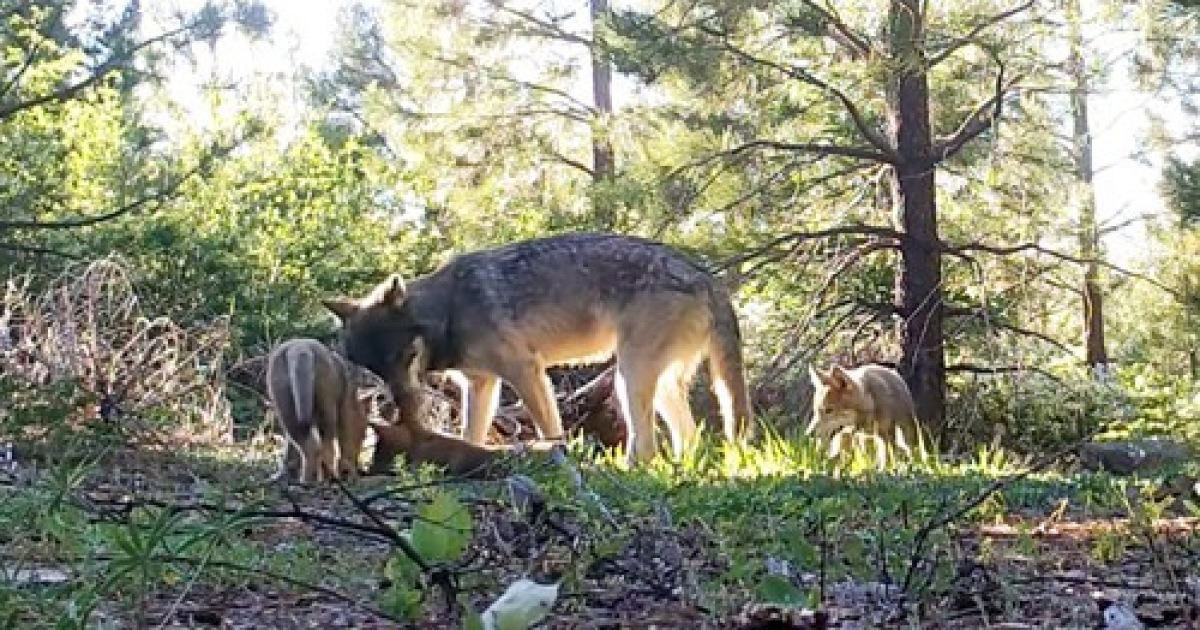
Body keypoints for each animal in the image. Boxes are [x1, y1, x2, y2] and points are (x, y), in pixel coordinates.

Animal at [265, 338, 369, 483]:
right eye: (363, 435)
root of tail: (300, 348)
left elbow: (290, 449)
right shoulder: (344, 414)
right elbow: (345, 442)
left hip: (286, 406)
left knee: (308, 447)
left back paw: (304, 480)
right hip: (326, 408)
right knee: (324, 448)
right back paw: (326, 477)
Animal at [322, 232, 753, 466]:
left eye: (403, 357)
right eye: (376, 371)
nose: (401, 404)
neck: (450, 309)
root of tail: (707, 276)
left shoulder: (526, 370)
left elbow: (550, 427)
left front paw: (555, 456)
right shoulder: (481, 385)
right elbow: (471, 434)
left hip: (628, 380)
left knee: (648, 447)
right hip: (653, 385)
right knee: (690, 438)